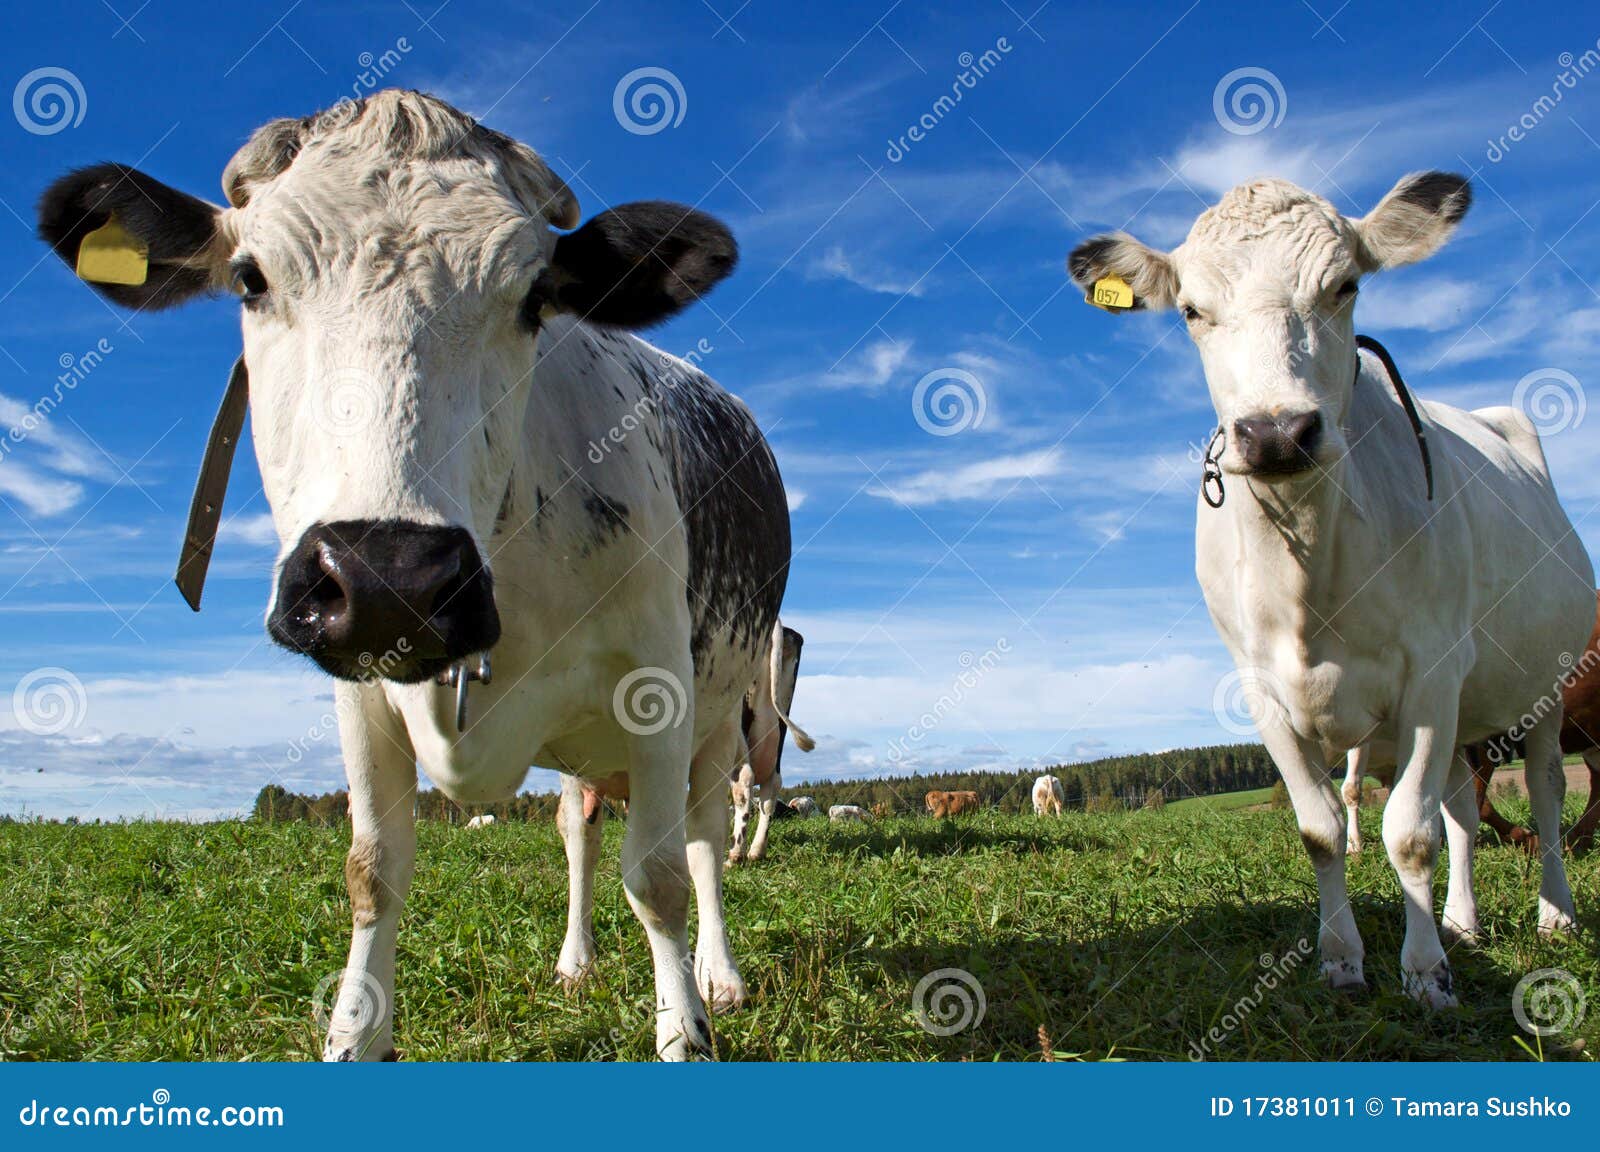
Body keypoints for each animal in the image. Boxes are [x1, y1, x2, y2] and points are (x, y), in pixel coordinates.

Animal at [40, 90, 791, 1060]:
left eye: (536, 297)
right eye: (250, 278)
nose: (389, 575)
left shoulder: (658, 685)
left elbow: (659, 878)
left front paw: (685, 1031)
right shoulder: (360, 694)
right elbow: (374, 871)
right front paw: (353, 1035)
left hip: (726, 711)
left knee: (700, 836)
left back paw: (719, 975)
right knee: (579, 832)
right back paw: (576, 960)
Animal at [1069, 172, 1594, 1007]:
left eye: (1345, 286)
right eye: (1191, 311)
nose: (1276, 432)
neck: (1310, 574)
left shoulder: (1432, 672)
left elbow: (1408, 835)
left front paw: (1425, 975)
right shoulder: (1265, 690)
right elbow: (1323, 830)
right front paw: (1343, 960)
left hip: (1544, 682)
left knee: (1543, 797)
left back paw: (1556, 916)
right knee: (1462, 808)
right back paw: (1464, 922)